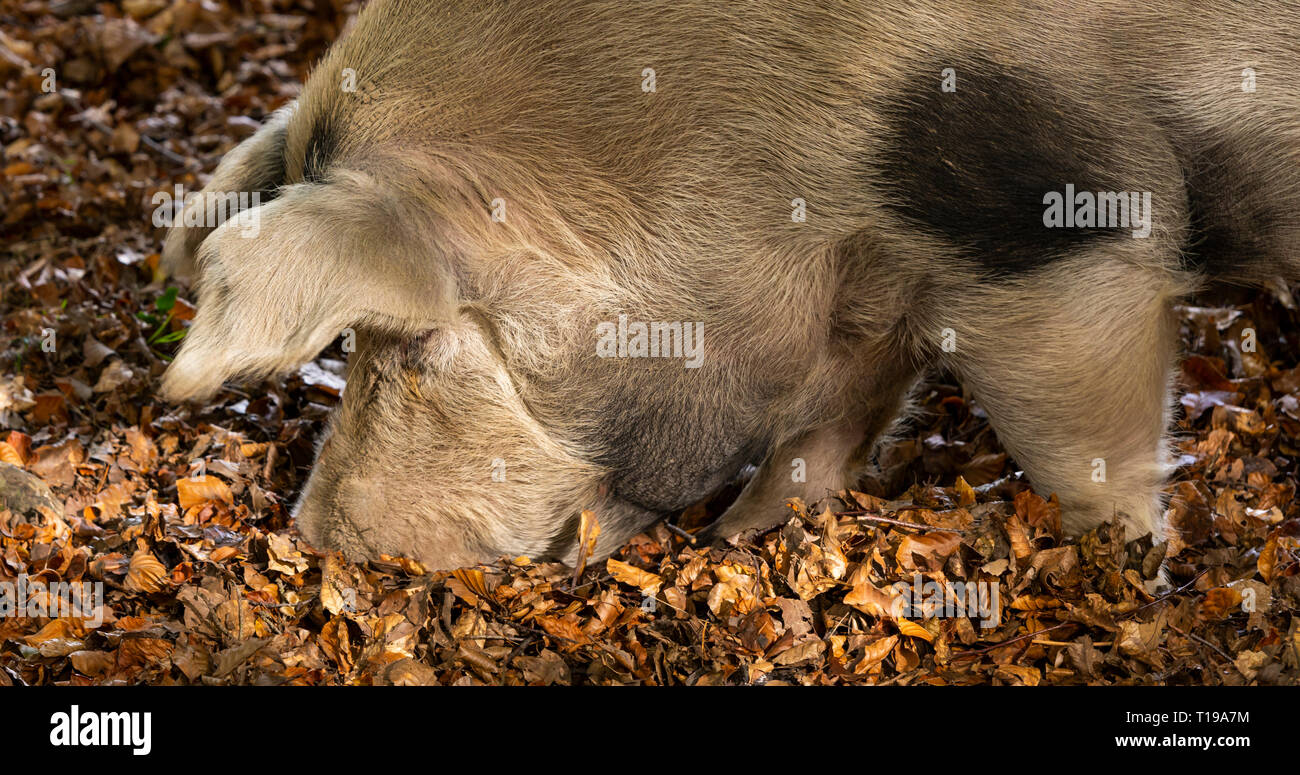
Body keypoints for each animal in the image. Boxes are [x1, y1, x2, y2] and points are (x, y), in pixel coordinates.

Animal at [160, 0, 1300, 569]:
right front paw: (739, 539)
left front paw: (1132, 564)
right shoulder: (871, 276)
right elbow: (832, 423)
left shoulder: (1056, 225)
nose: (315, 534)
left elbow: (1083, 451)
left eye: (422, 344)